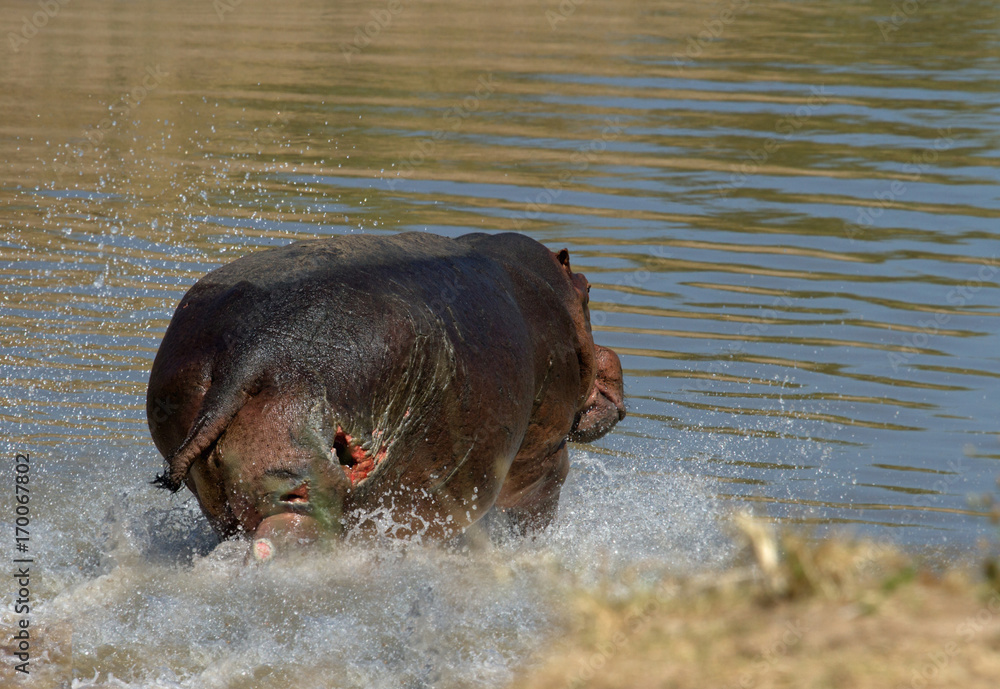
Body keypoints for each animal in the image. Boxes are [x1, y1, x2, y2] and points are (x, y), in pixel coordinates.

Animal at [146, 232, 624, 558]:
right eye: (588, 290)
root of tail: (252, 352)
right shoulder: (542, 454)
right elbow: (528, 515)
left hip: (214, 483)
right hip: (302, 490)